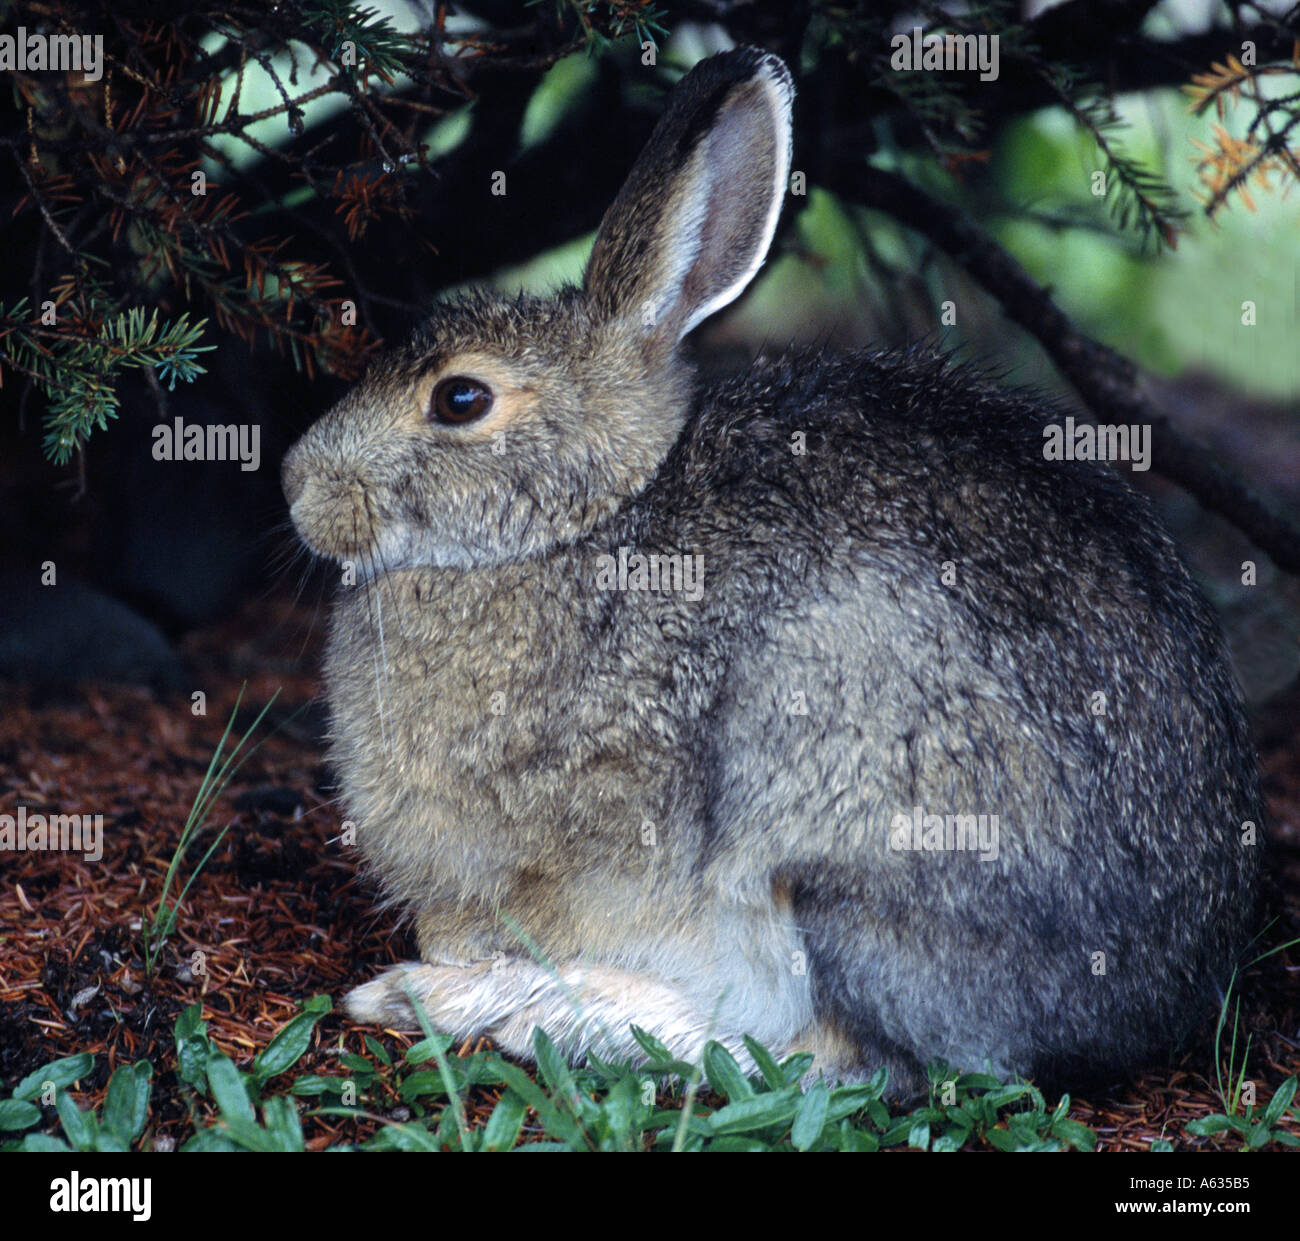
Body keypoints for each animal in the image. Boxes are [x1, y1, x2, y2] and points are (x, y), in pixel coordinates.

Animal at [281, 46, 1262, 1099]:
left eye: (459, 399)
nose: (297, 486)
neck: (585, 521)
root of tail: (1153, 998)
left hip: (839, 821)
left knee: (841, 1062)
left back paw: (510, 1008)